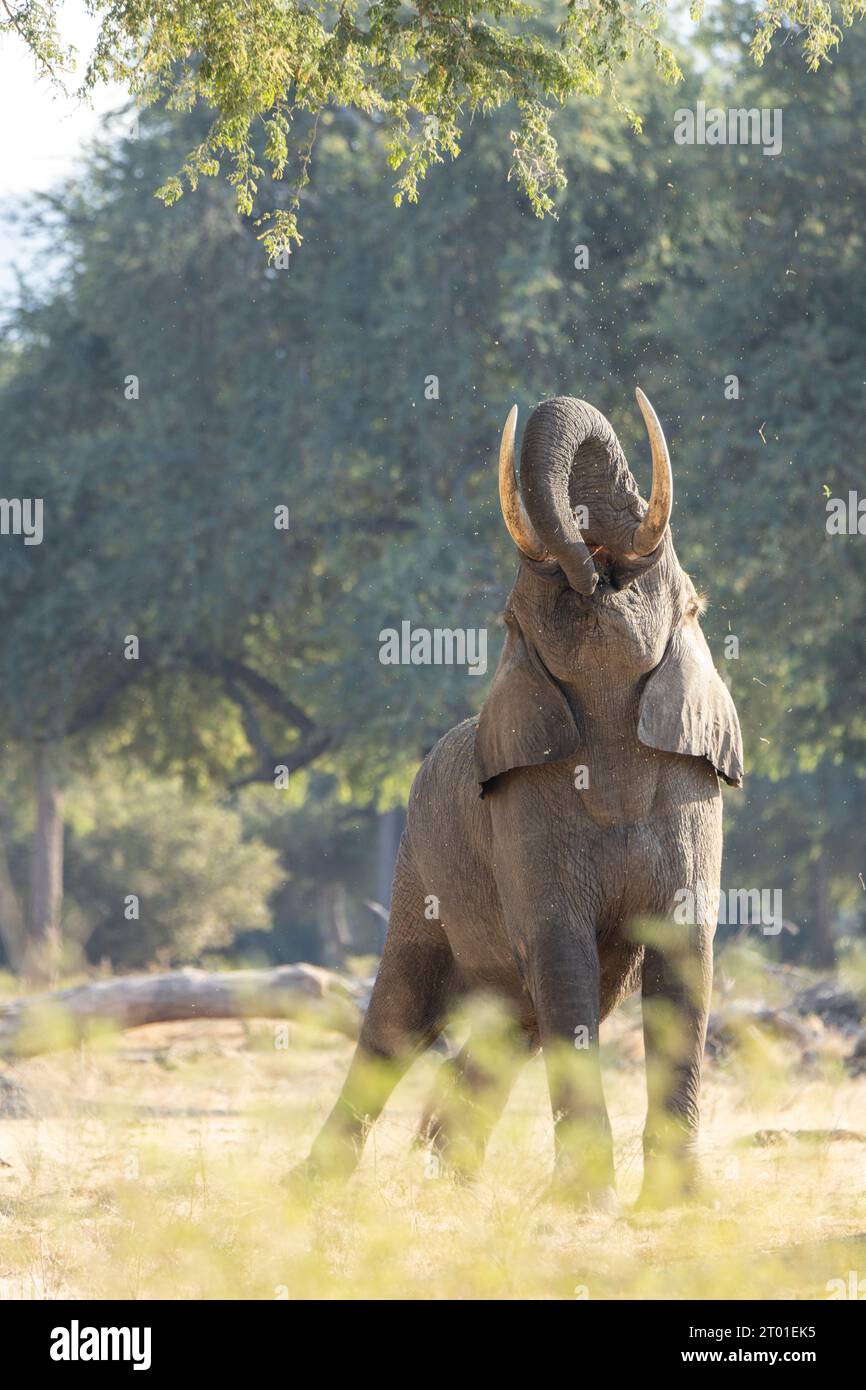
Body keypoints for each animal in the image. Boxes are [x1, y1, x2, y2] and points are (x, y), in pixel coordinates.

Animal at [298, 389, 743, 1209]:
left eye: (687, 598)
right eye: (513, 608)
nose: (591, 562)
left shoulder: (692, 792)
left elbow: (680, 961)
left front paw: (677, 1207)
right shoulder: (526, 809)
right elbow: (561, 956)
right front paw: (589, 1202)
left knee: (513, 1024)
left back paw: (450, 1177)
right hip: (417, 867)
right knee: (401, 1017)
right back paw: (313, 1187)